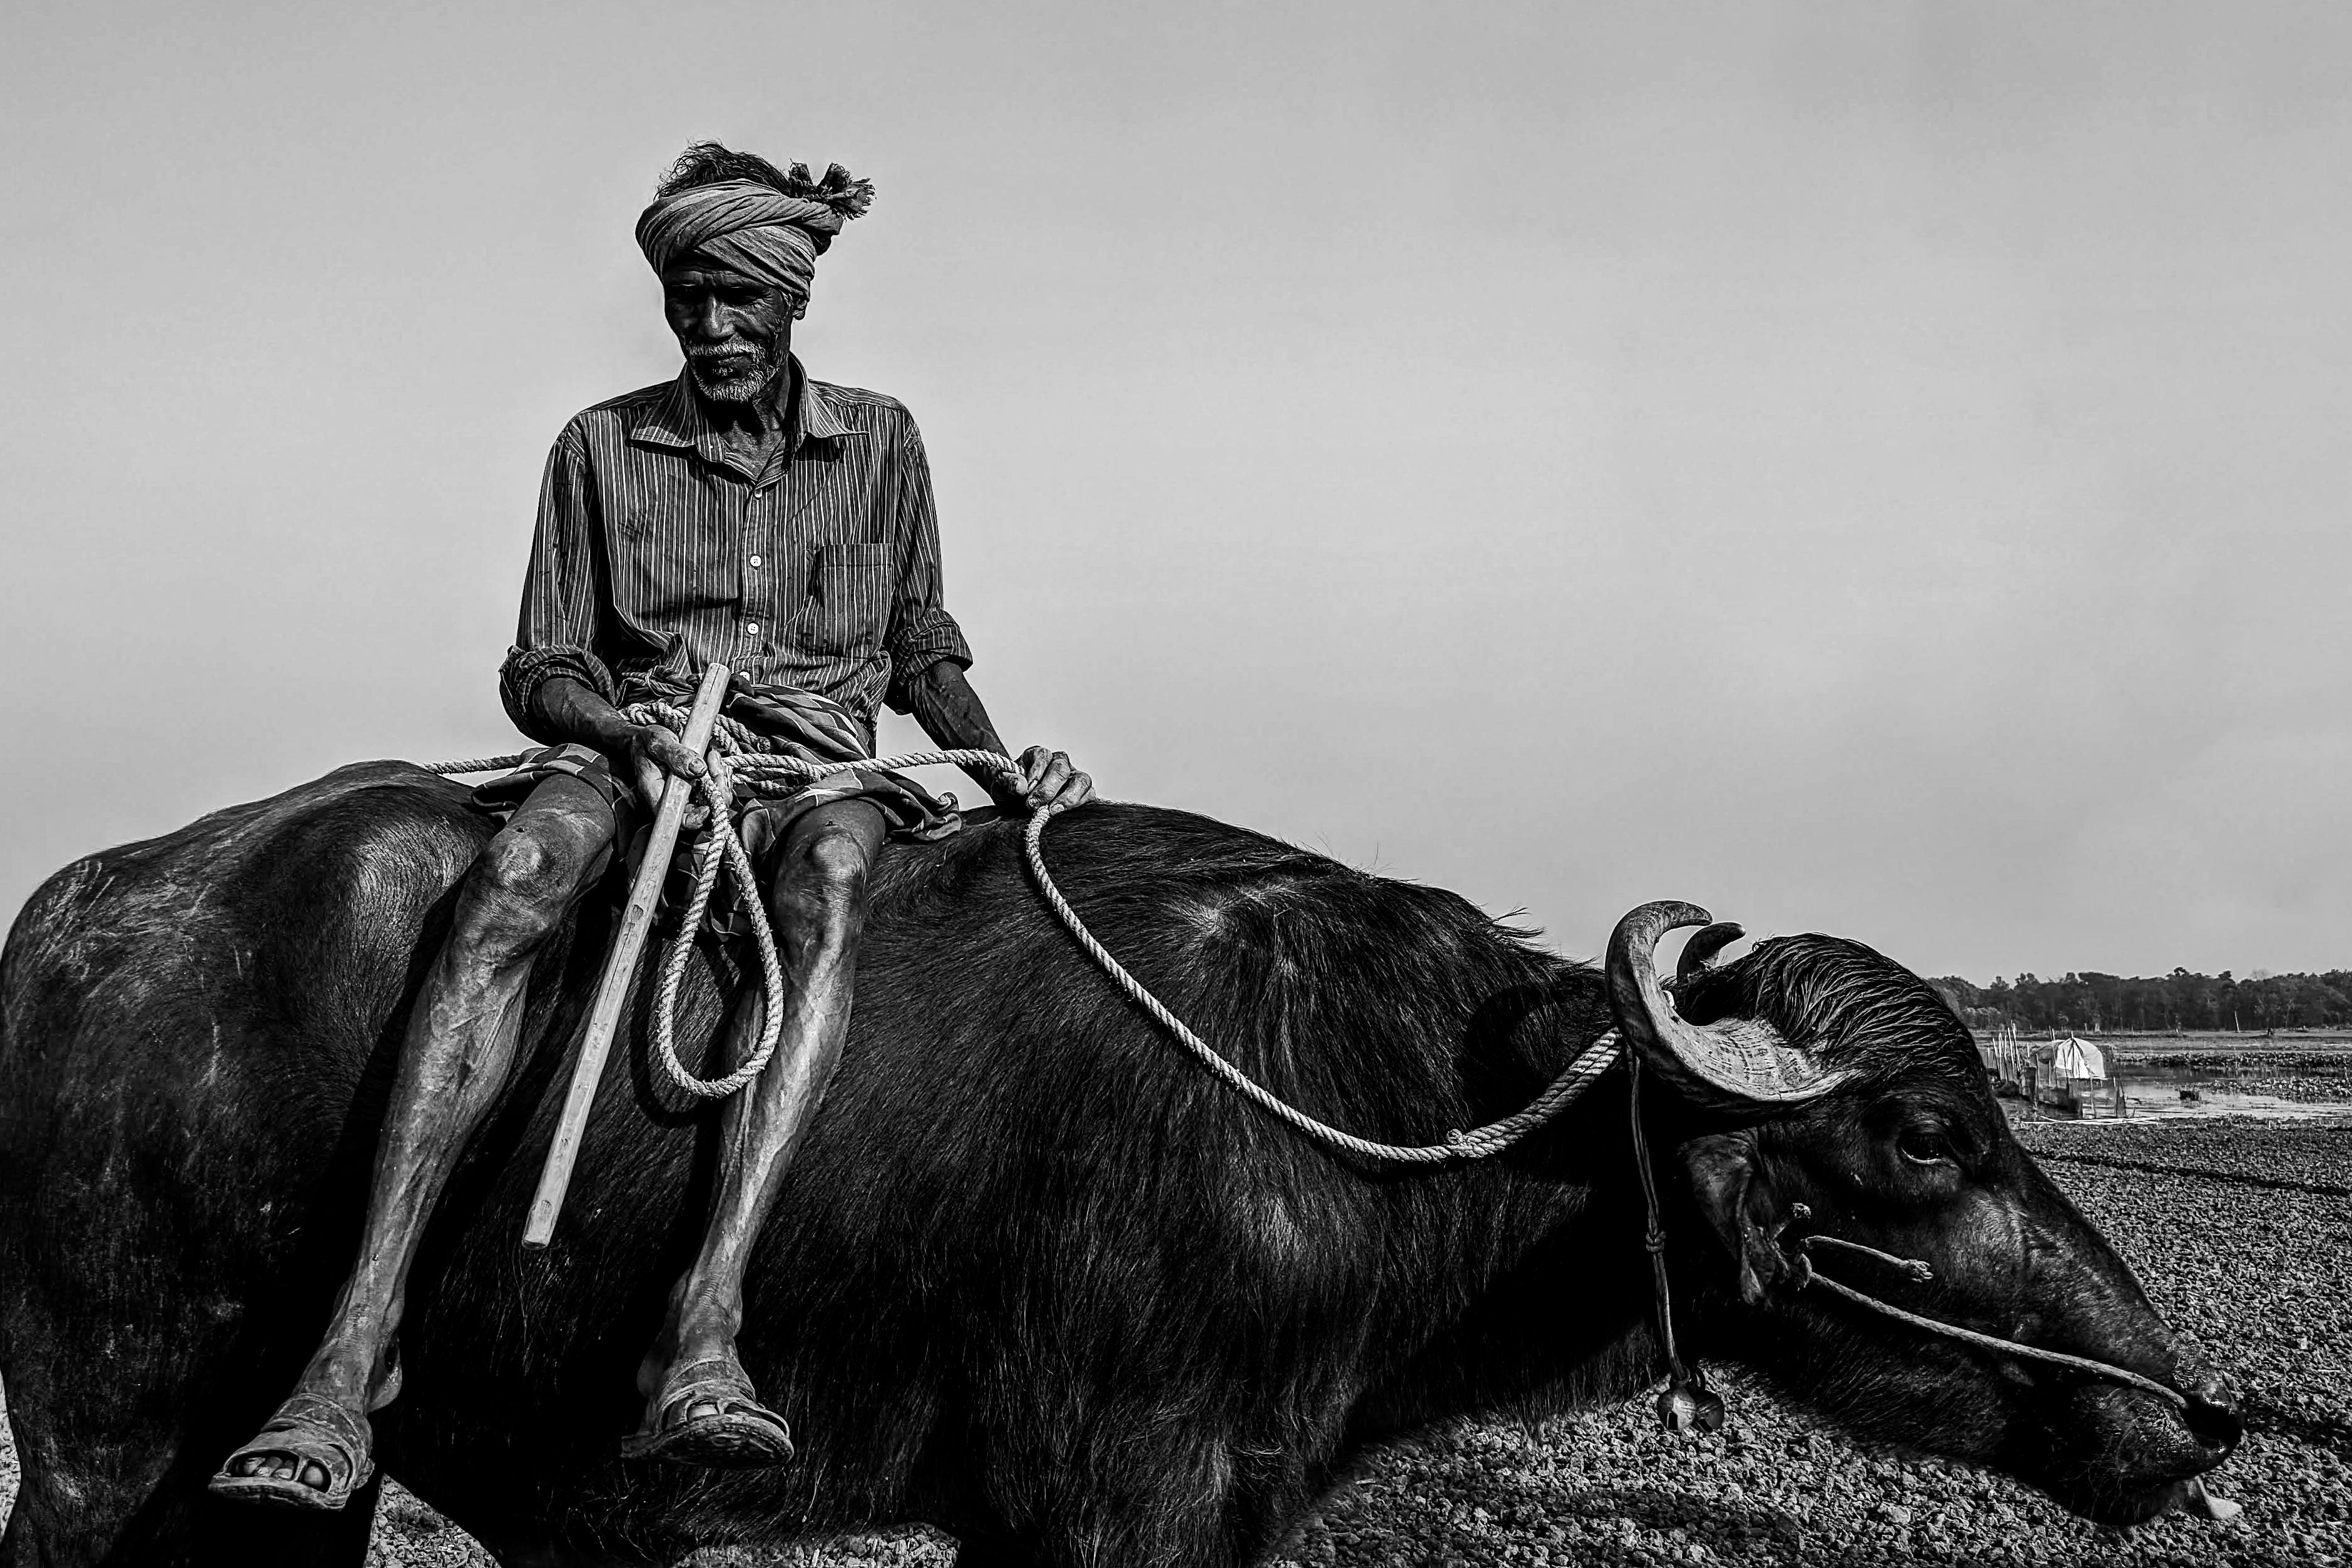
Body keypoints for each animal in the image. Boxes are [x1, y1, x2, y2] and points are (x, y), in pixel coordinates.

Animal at [0, 762, 2239, 1566]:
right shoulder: (1114, 1504)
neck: (1362, 1108)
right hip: (96, 1435)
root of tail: (83, 903)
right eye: (1924, 1132)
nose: (2194, 1415)